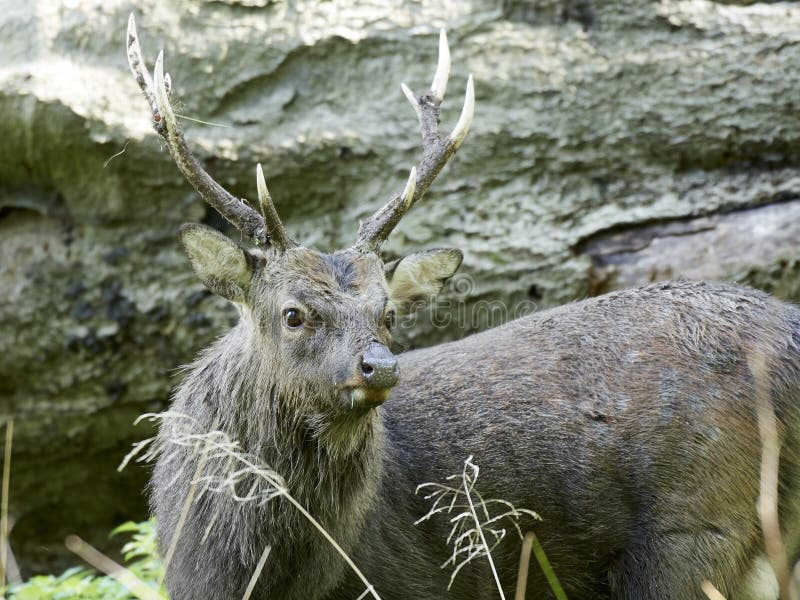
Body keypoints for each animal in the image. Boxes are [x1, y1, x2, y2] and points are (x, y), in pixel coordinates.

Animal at [126, 14, 800, 600]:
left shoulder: (415, 581)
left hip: (694, 530)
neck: (247, 569)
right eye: (293, 313)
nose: (379, 367)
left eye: (388, 313)